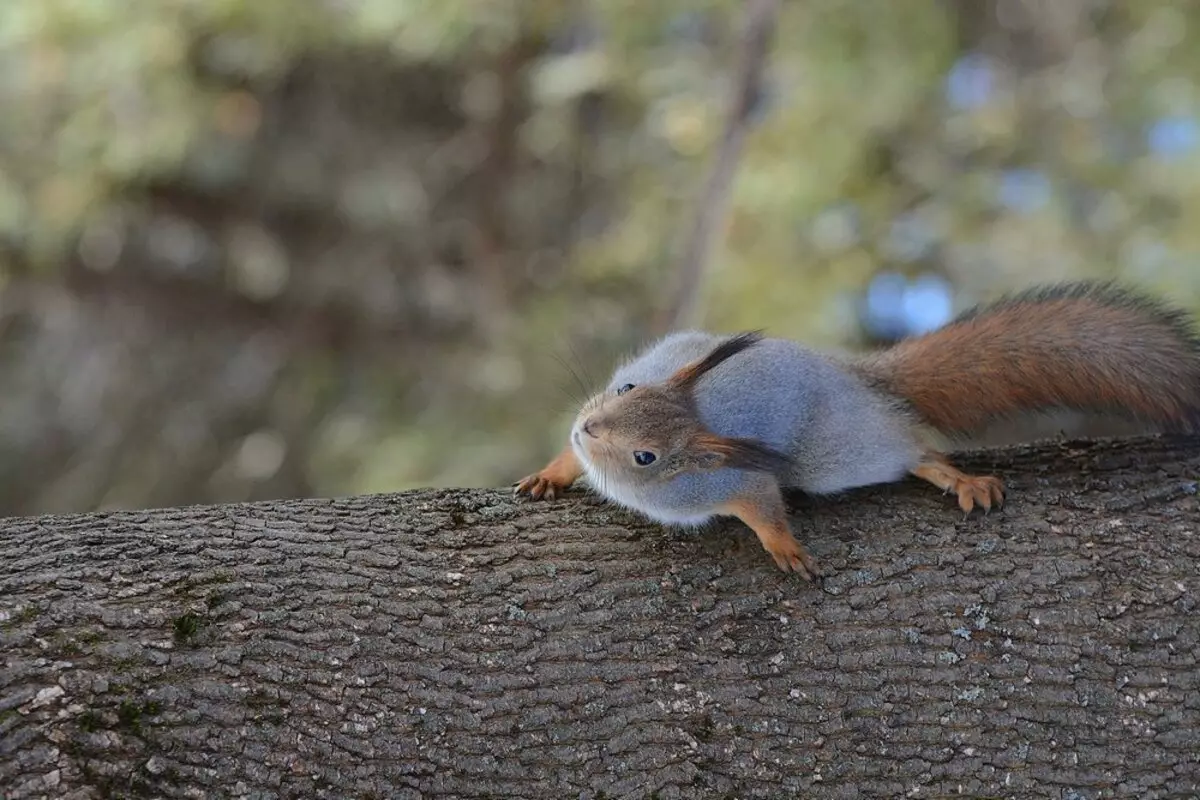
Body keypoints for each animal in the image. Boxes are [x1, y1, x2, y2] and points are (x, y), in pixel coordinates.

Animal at [511, 283, 1200, 582]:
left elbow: (765, 510)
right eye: (627, 387)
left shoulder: (736, 481)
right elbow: (568, 462)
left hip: (837, 453)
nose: (586, 426)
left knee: (909, 449)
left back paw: (953, 476)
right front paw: (549, 474)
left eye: (646, 456)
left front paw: (785, 547)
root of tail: (850, 376)